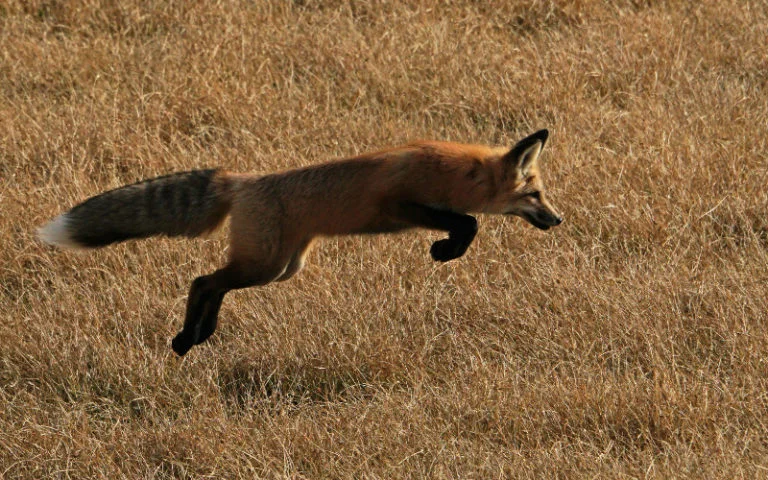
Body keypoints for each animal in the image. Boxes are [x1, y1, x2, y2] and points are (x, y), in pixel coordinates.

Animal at [38, 129, 563, 356]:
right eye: (535, 194)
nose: (558, 219)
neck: (453, 171)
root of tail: (241, 181)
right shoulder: (400, 203)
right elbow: (468, 222)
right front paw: (445, 250)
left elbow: (467, 221)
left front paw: (447, 249)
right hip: (265, 264)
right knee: (202, 281)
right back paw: (187, 338)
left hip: (281, 267)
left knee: (213, 284)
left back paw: (200, 335)